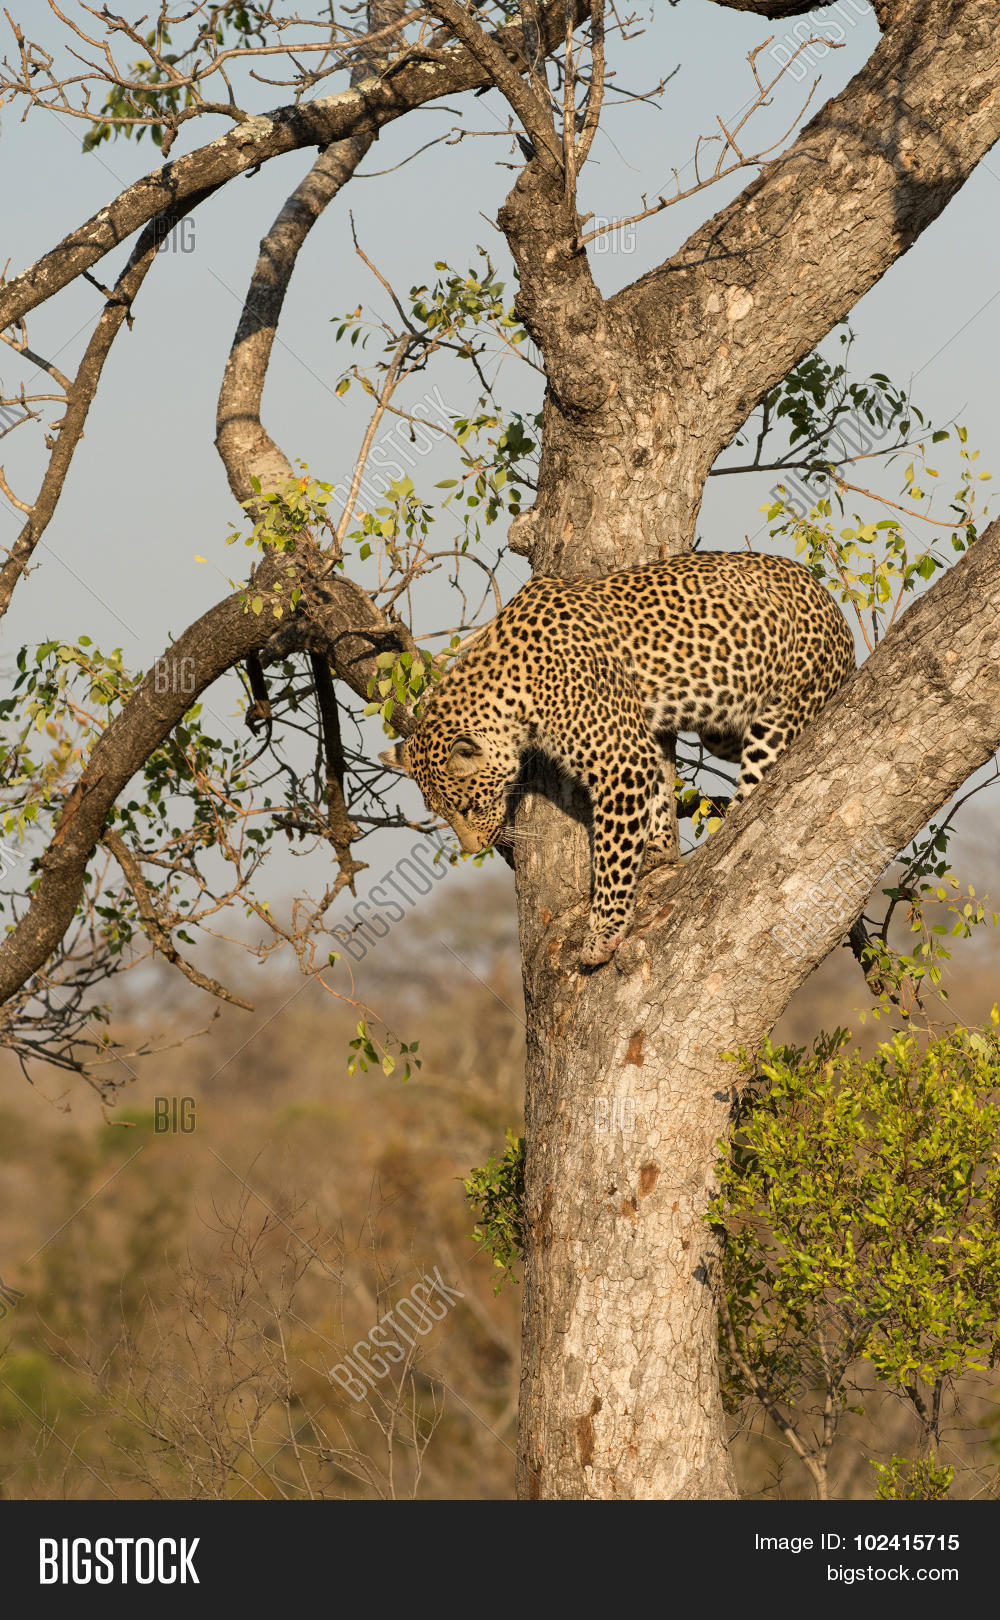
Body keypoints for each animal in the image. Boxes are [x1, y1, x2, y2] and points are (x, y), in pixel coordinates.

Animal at [380, 551, 856, 967]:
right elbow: (657, 796)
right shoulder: (640, 744)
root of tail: (839, 617)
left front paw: (602, 934)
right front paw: (659, 849)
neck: (511, 690)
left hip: (781, 713)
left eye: (471, 806)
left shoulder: (621, 761)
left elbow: (612, 854)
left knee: (759, 785)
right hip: (722, 726)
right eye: (444, 814)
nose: (474, 849)